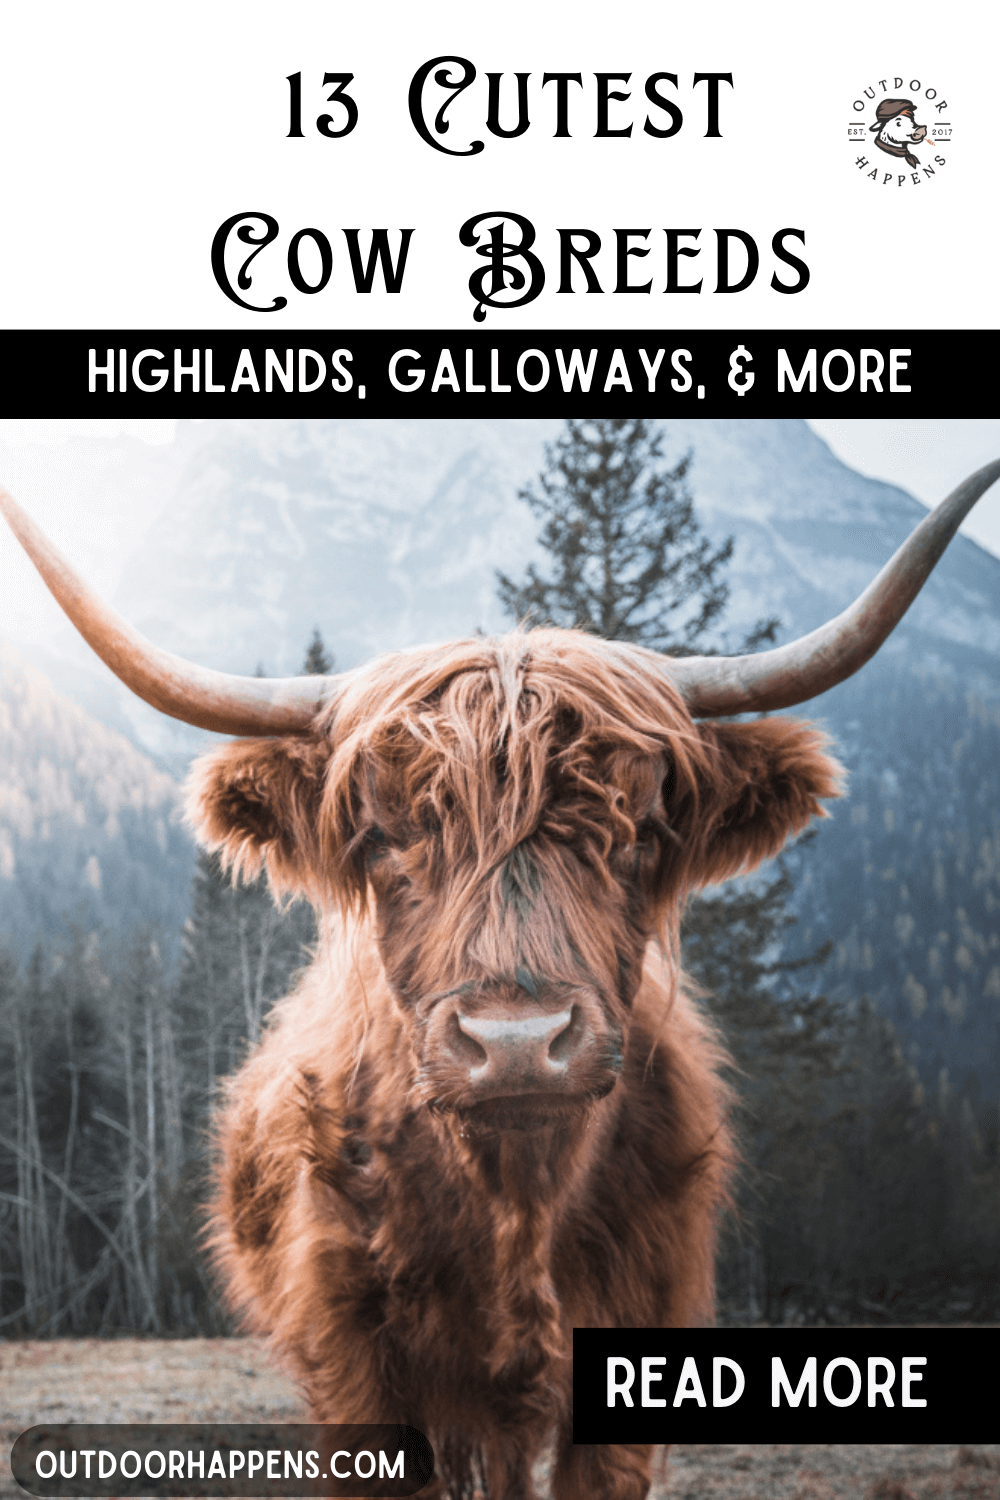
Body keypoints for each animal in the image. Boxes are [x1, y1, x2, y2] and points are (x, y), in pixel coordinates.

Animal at [2, 458, 998, 1500]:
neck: (516, 1202)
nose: (517, 1045)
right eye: (383, 835)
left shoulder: (635, 1330)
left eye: (640, 830)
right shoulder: (355, 1360)